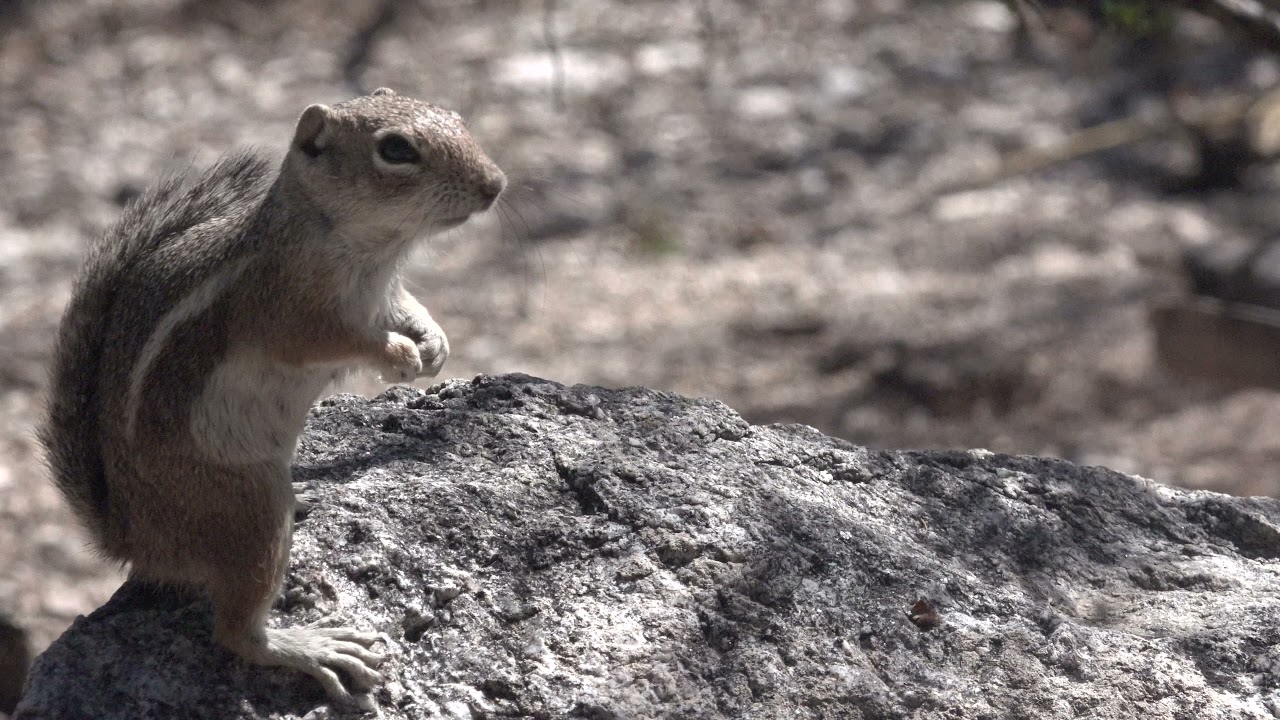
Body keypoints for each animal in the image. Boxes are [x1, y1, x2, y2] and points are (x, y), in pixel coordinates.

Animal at [39, 88, 506, 702]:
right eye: (396, 149)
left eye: (455, 117)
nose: (495, 184)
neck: (372, 249)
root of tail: (136, 540)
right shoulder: (287, 308)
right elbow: (327, 340)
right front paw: (399, 356)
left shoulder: (386, 293)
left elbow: (408, 308)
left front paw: (432, 343)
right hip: (248, 505)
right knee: (237, 632)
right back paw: (311, 647)